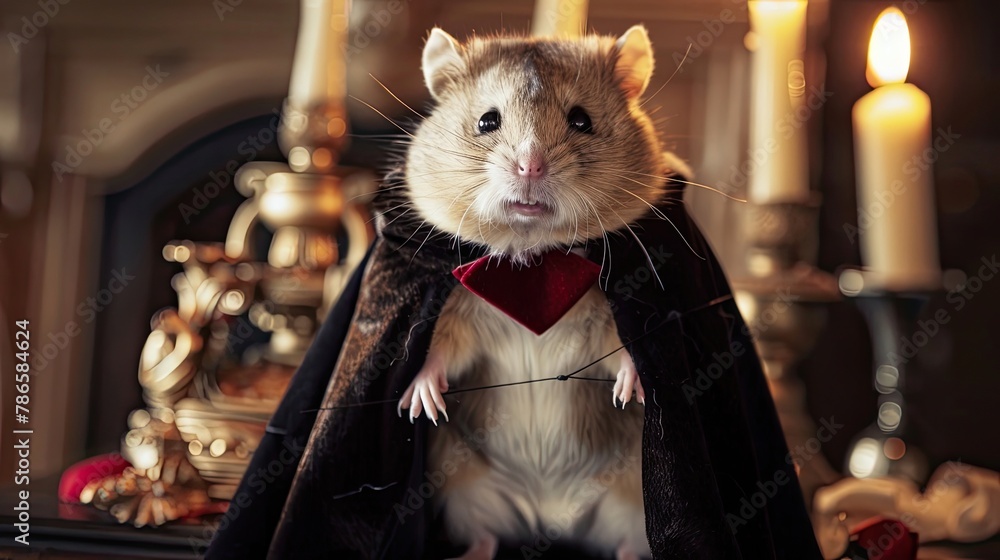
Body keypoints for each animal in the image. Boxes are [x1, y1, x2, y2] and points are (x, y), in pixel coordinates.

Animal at [396, 26, 683, 560]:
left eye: (581, 119)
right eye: (487, 120)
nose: (530, 168)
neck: (533, 255)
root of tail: (549, 517)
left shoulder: (605, 318)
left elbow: (622, 350)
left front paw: (630, 391)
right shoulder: (458, 313)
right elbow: (440, 350)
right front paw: (421, 402)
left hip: (631, 507)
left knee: (627, 543)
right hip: (467, 493)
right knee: (486, 534)